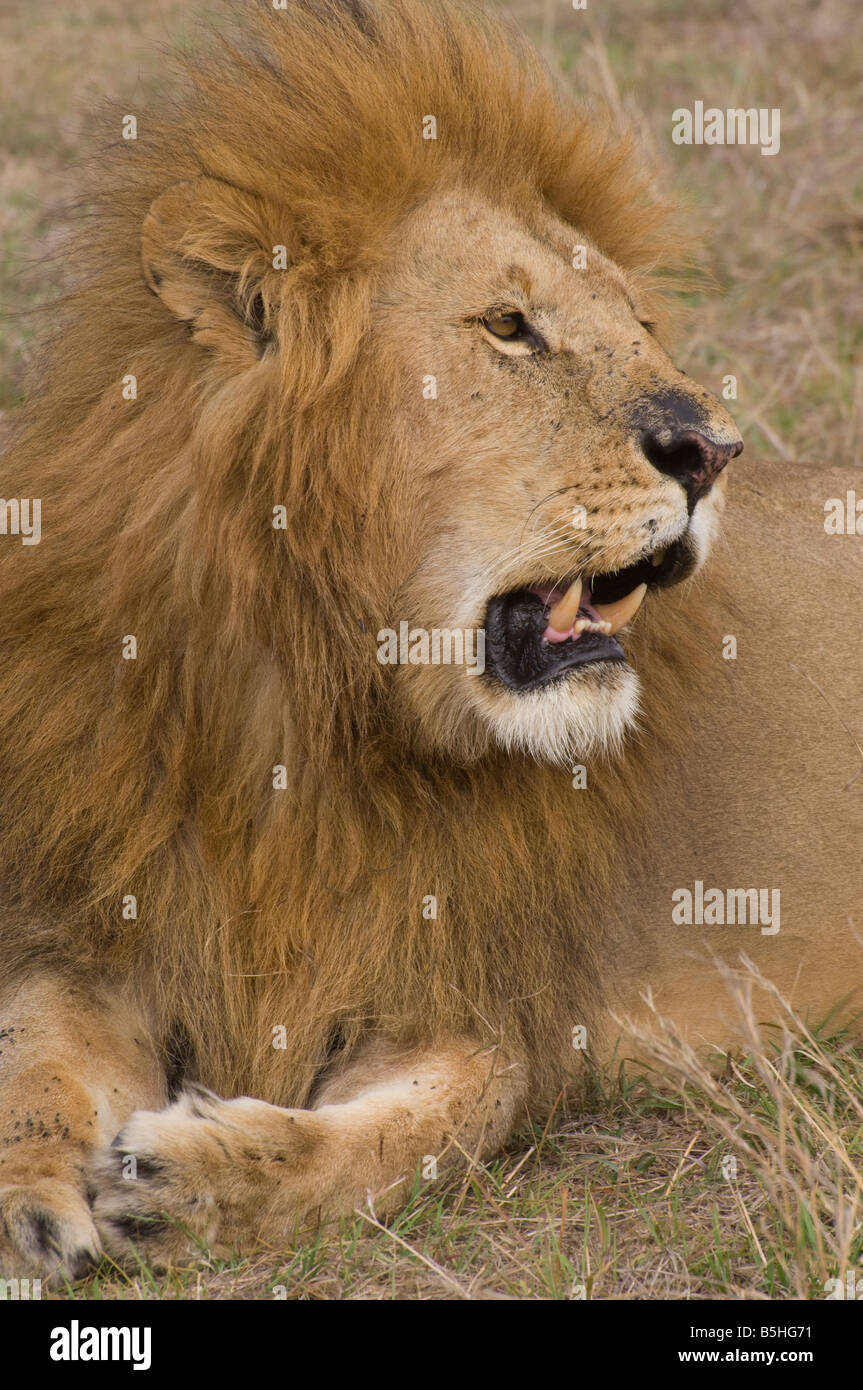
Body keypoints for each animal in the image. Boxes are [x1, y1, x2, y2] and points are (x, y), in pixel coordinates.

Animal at [0, 0, 861, 1283]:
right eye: (508, 327)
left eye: (636, 324)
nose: (714, 449)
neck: (307, 705)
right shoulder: (115, 914)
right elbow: (35, 1046)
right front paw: (24, 1194)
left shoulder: (475, 993)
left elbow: (409, 1135)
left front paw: (198, 1182)